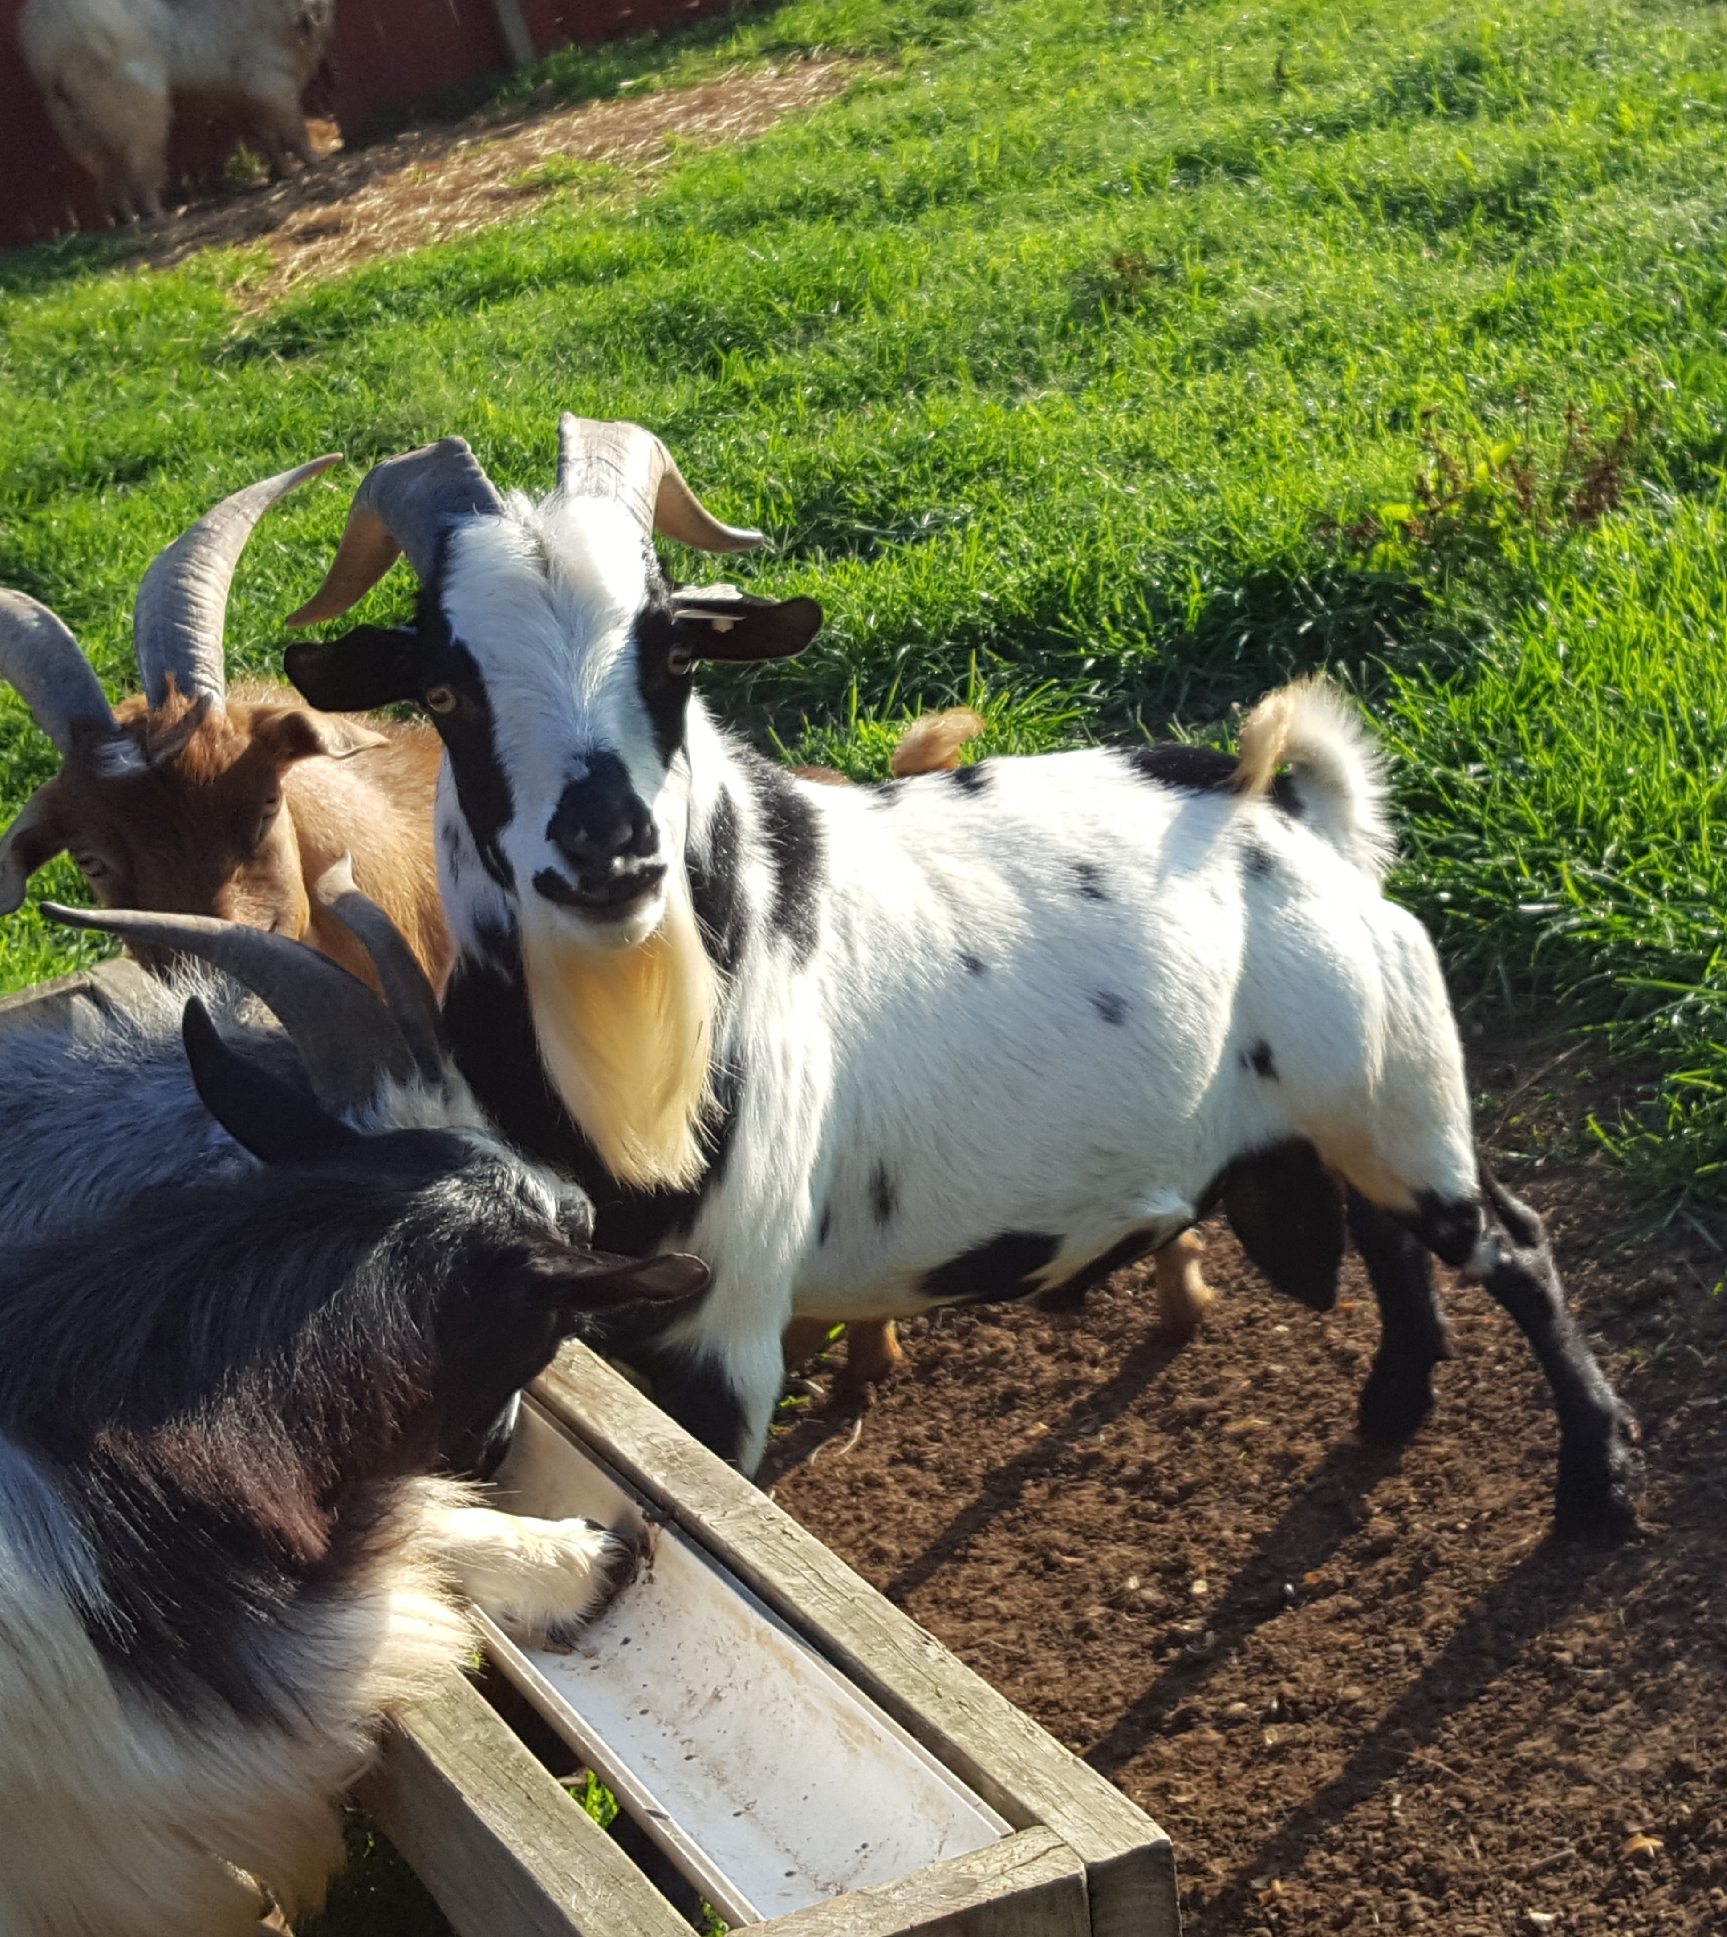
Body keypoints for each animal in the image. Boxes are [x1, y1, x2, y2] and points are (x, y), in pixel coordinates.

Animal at [19, 0, 335, 224]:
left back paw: (128, 220)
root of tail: (50, 46)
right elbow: (295, 132)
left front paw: (283, 172)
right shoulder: (272, 83)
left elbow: (269, 140)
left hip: (84, 130)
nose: (314, 15)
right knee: (139, 174)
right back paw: (158, 214)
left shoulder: (248, 98)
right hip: (137, 118)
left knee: (111, 180)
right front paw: (313, 163)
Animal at [281, 420, 1637, 1537]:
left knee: (1506, 1241)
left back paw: (1595, 1480)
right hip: (1335, 1108)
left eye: (671, 655)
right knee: (1387, 1234)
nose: (606, 853)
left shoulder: (721, 1327)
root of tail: (1291, 810)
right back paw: (1395, 1399)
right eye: (442, 686)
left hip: (1392, 1086)